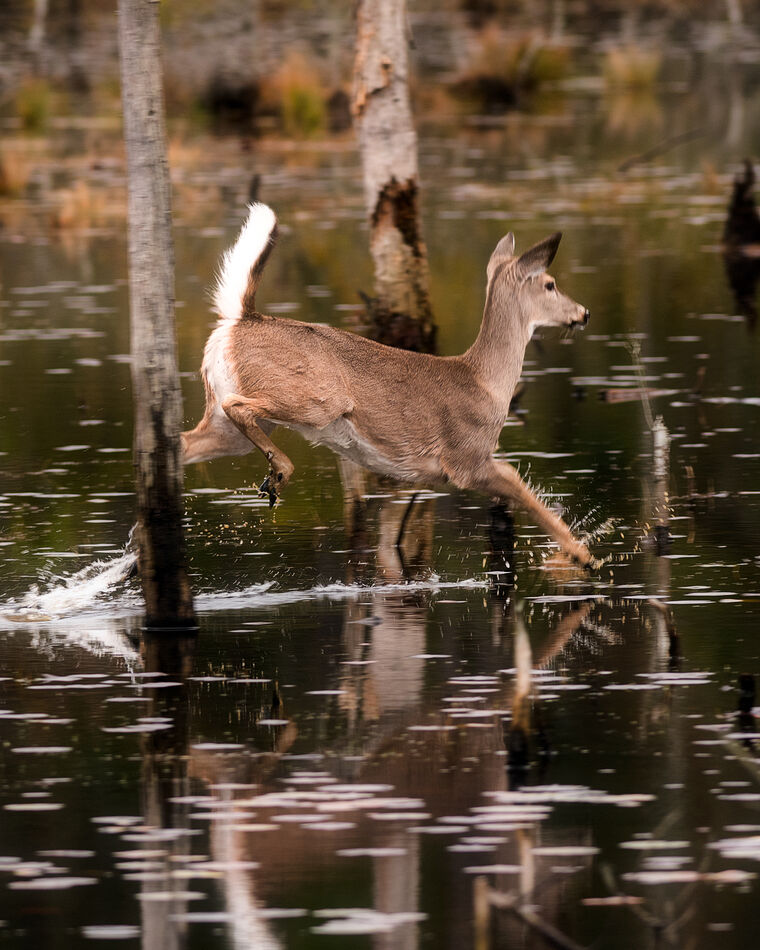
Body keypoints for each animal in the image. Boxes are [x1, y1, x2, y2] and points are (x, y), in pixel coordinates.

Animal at [181, 203, 597, 568]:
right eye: (550, 284)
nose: (584, 313)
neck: (485, 381)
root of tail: (238, 319)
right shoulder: (467, 459)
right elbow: (523, 489)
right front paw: (585, 558)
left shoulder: (413, 479)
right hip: (318, 401)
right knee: (238, 407)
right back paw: (279, 473)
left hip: (227, 422)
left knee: (184, 443)